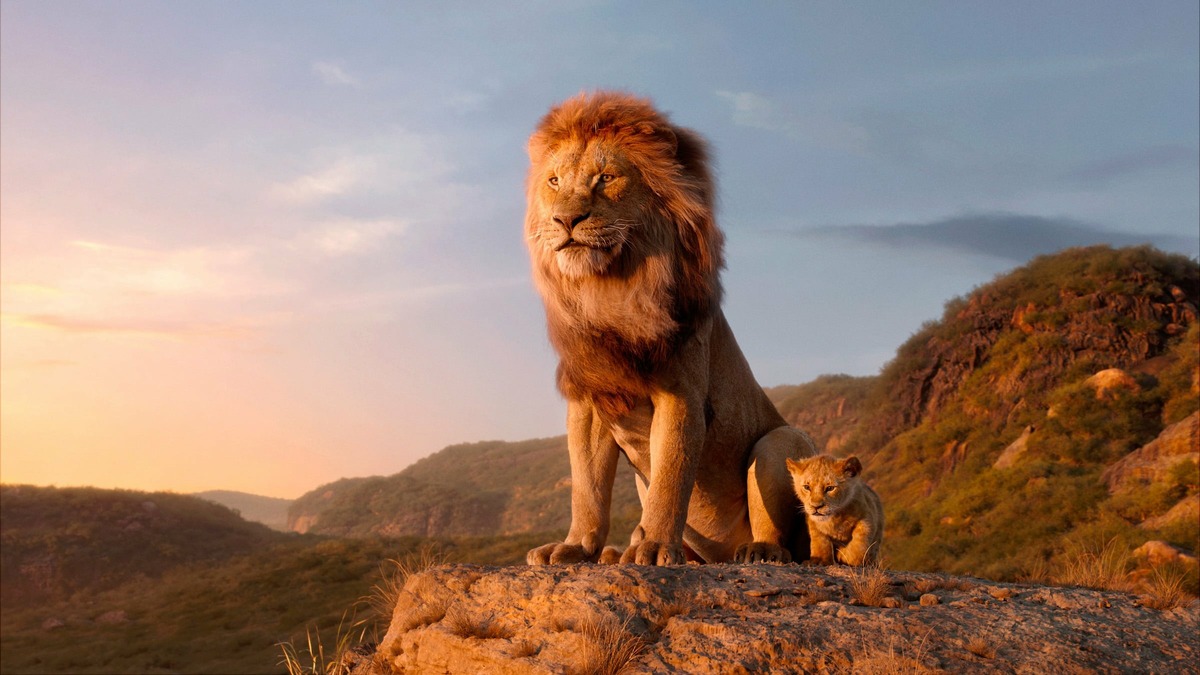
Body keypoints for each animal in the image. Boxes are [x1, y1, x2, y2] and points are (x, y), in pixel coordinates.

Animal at [522, 91, 816, 566]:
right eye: (553, 181)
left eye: (606, 178)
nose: (565, 220)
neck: (610, 290)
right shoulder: (589, 399)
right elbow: (587, 487)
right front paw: (576, 546)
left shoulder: (681, 394)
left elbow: (671, 477)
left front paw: (656, 546)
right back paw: (617, 551)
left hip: (781, 440)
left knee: (783, 536)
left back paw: (757, 551)